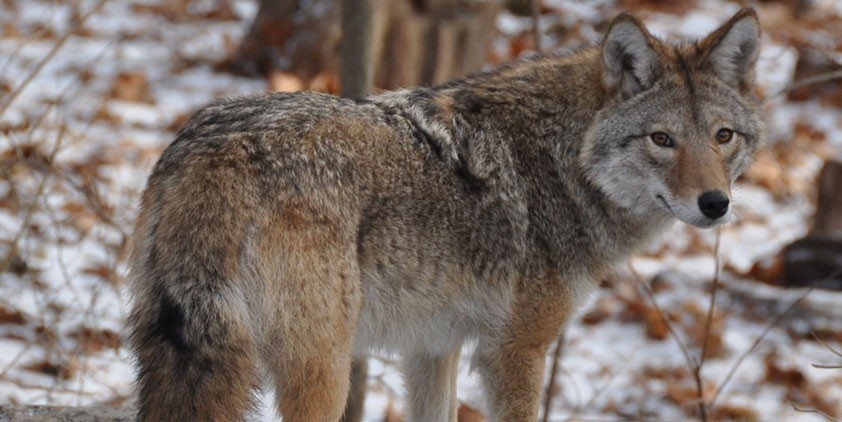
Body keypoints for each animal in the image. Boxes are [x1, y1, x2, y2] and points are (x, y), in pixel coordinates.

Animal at [127, 8, 763, 422]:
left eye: (723, 136)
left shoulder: (434, 348)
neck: (559, 161)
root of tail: (216, 149)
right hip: (325, 371)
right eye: (662, 139)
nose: (715, 203)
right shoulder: (515, 354)